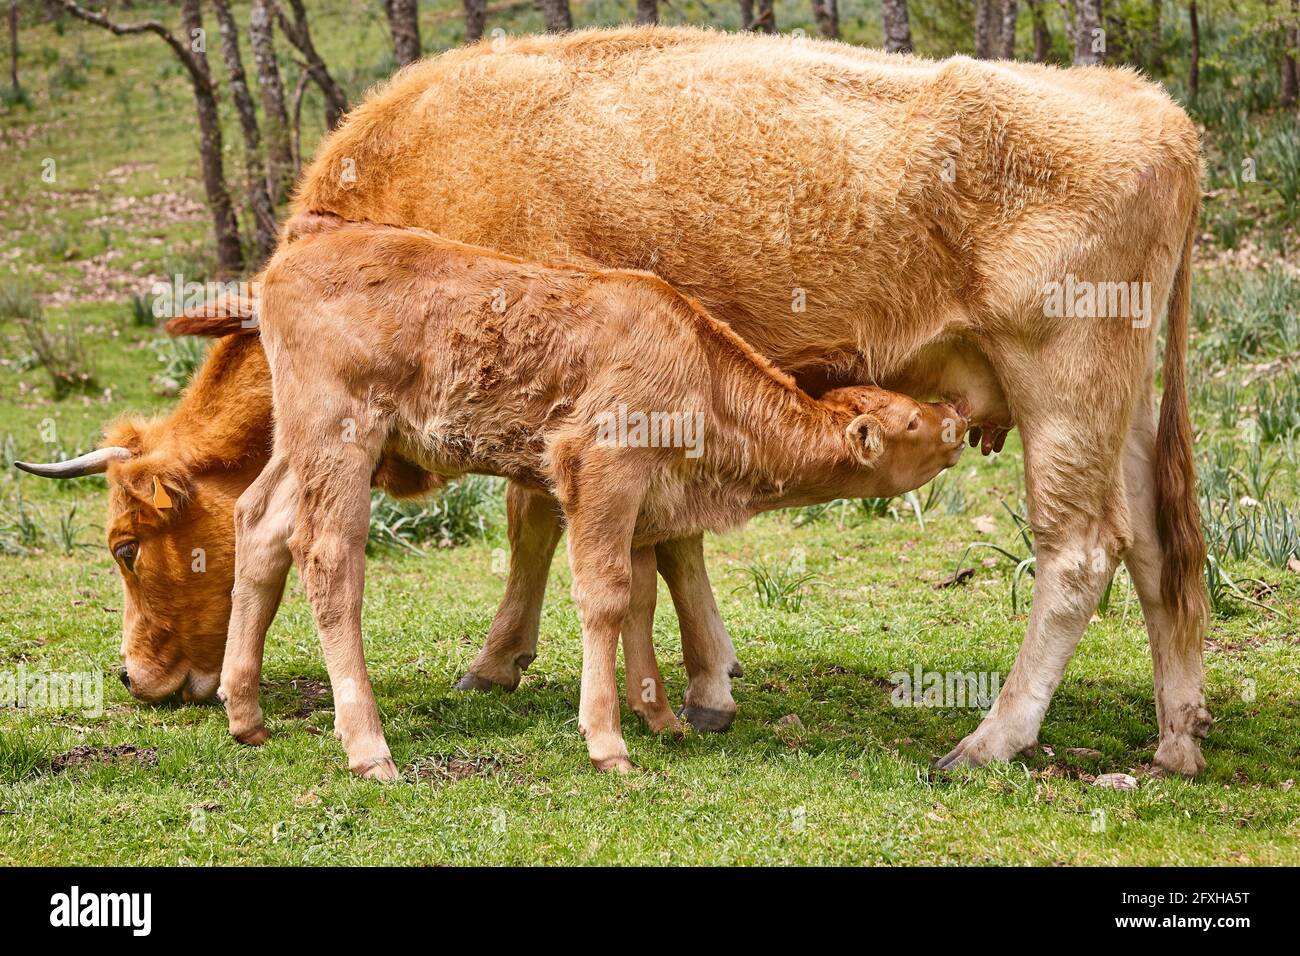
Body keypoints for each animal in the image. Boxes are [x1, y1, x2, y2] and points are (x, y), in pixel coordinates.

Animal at [19, 25, 1210, 776]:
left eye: (124, 545)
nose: (137, 676)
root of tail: (1156, 109)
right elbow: (668, 547)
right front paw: (705, 684)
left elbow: (538, 524)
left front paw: (502, 662)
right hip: (1121, 408)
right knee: (1158, 547)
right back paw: (1176, 736)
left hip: (1062, 396)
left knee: (1077, 554)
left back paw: (987, 741)